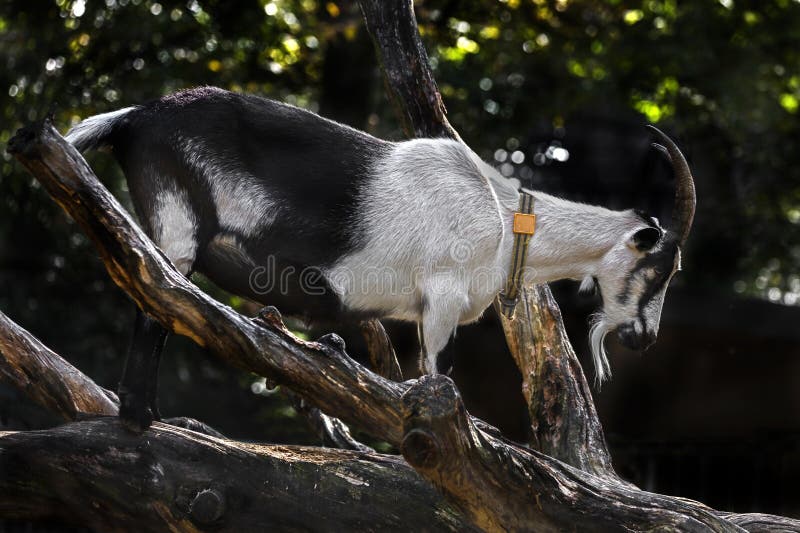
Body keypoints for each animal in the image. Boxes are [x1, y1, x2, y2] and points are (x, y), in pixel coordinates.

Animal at [66, 86, 695, 430]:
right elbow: (435, 374)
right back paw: (142, 417)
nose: (645, 338)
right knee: (156, 300)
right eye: (659, 267)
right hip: (177, 222)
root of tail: (134, 118)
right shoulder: (441, 298)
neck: (500, 215)